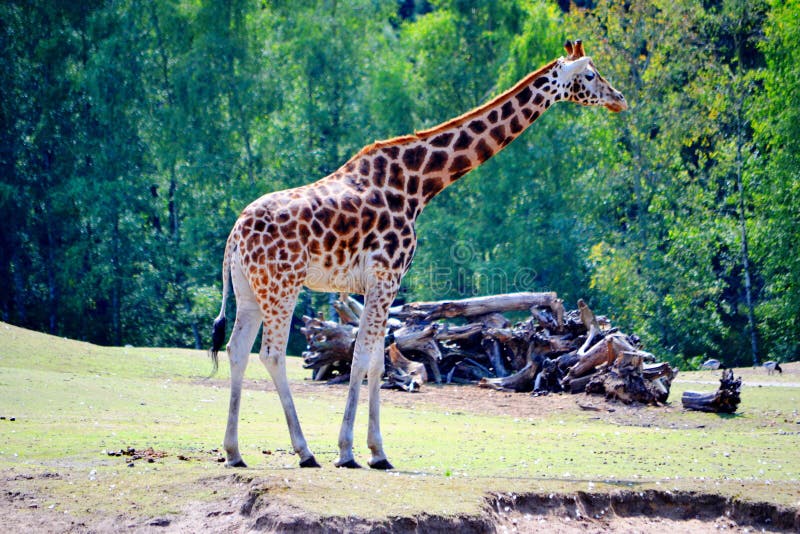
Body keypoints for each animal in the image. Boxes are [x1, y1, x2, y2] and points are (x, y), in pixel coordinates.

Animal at [210, 39, 627, 470]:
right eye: (591, 75)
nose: (619, 99)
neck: (418, 186)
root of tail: (235, 236)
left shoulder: (379, 284)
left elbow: (377, 358)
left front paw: (372, 450)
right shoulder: (386, 276)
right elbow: (364, 358)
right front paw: (354, 451)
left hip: (250, 289)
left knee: (237, 349)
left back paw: (234, 452)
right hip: (283, 285)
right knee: (272, 354)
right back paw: (305, 451)